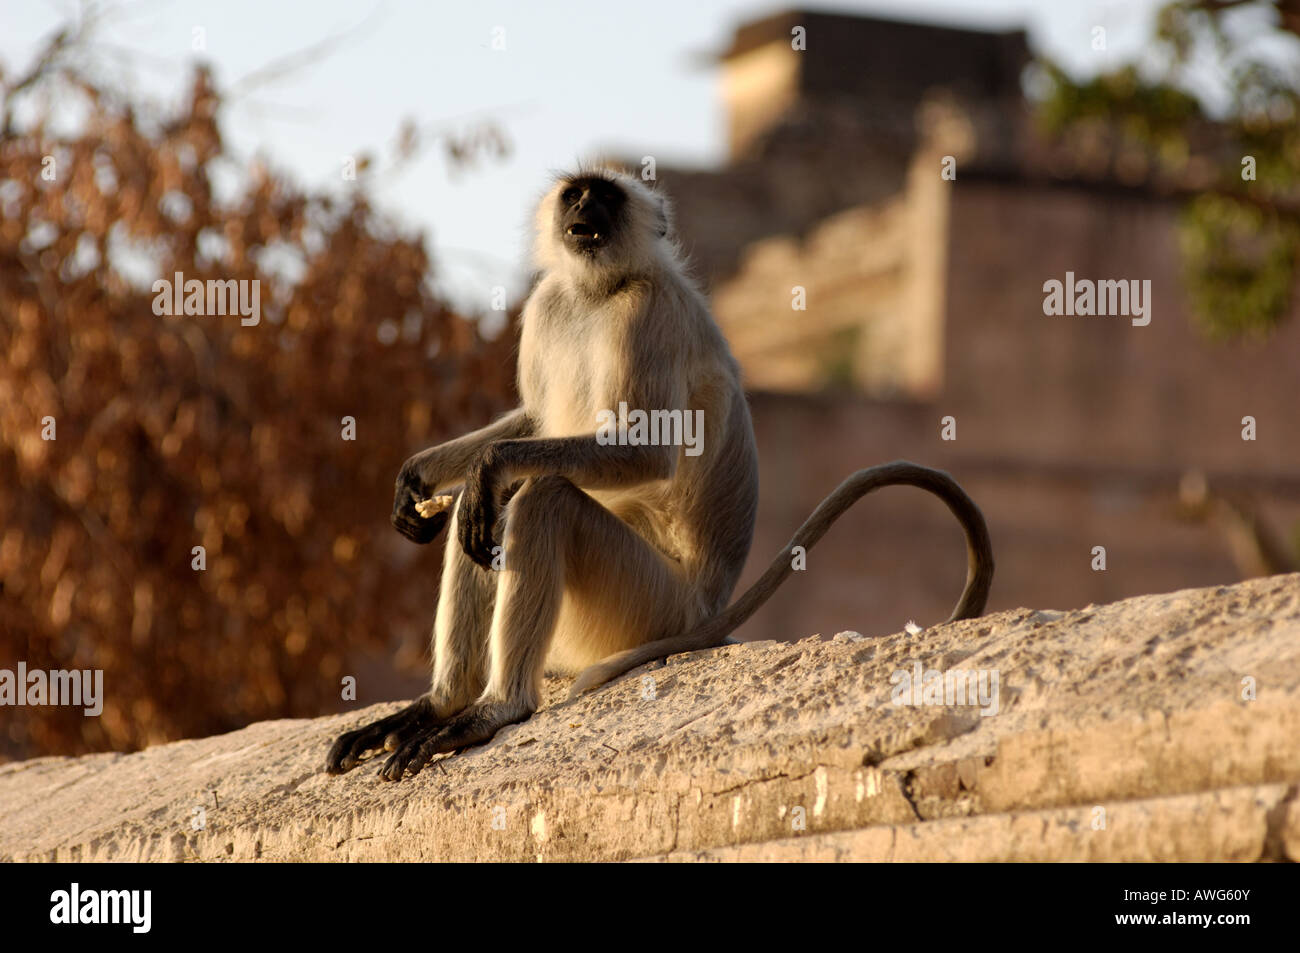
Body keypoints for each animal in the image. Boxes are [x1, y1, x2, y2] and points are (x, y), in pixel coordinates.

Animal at [325, 166, 994, 781]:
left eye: (606, 197)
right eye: (576, 195)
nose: (585, 210)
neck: (599, 291)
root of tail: (707, 608)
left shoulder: (646, 311)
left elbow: (640, 454)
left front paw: (487, 467)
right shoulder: (549, 304)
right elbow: (534, 422)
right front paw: (420, 476)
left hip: (650, 605)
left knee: (538, 499)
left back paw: (496, 710)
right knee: (488, 514)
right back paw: (442, 705)